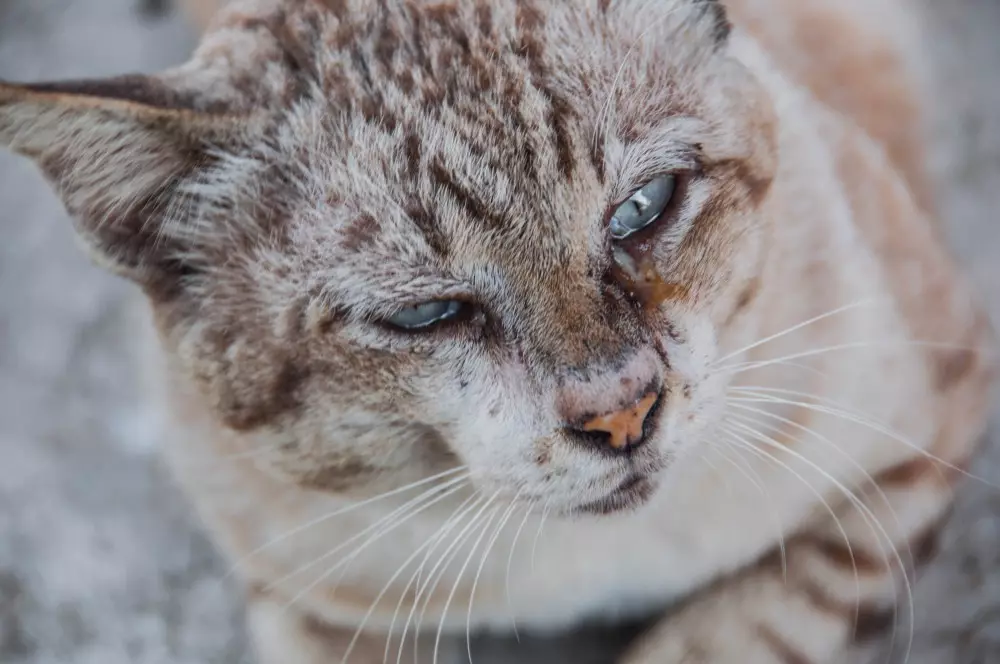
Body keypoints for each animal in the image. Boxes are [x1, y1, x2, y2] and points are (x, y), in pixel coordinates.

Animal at [0, 1, 992, 664]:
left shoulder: (929, 411)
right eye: (423, 314)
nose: (623, 414)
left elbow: (756, 625)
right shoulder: (310, 603)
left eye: (643, 207)